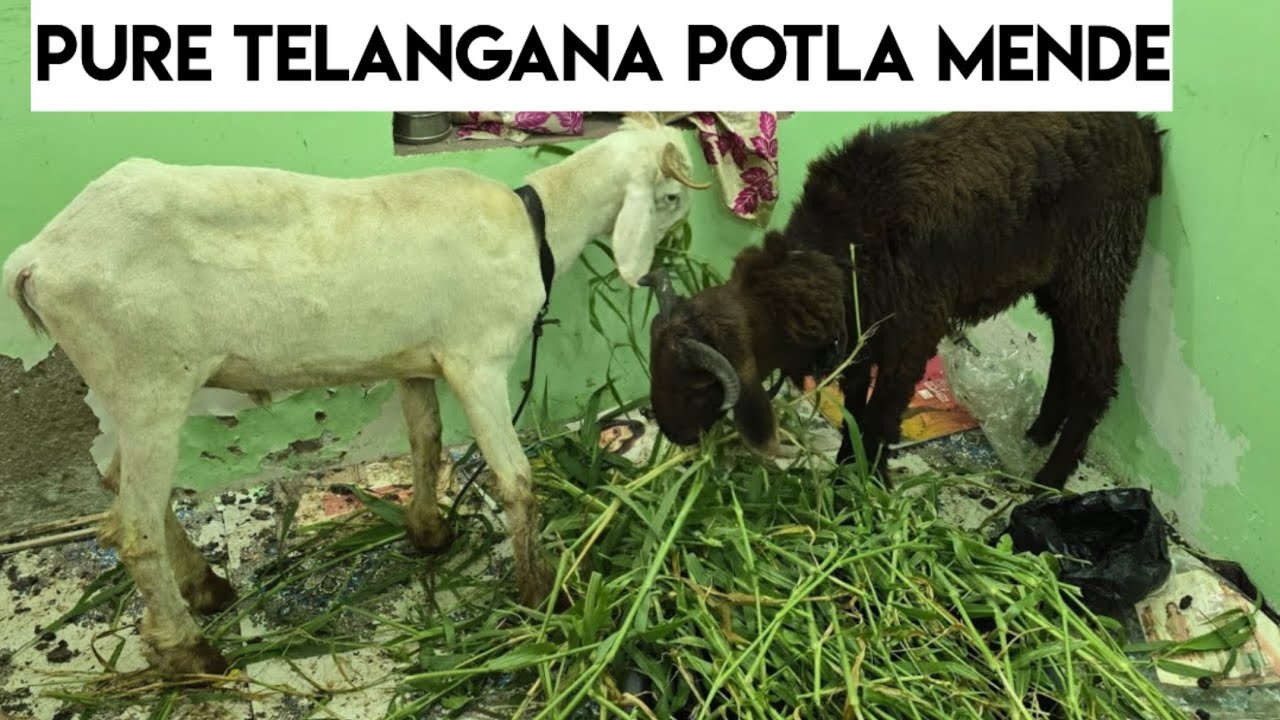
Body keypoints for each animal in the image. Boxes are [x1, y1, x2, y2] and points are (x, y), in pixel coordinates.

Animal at [2, 111, 710, 677]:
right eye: (672, 196)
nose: (670, 259)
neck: (536, 225)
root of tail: (36, 258)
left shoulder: (417, 360)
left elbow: (426, 442)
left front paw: (429, 532)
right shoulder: (477, 361)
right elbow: (515, 480)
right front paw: (541, 594)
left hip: (124, 388)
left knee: (117, 485)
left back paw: (205, 585)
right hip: (149, 380)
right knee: (134, 527)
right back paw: (192, 650)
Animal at [640, 111, 1166, 491]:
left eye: (698, 386)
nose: (674, 435)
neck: (841, 247)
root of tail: (1141, 129)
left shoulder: (911, 337)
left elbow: (881, 415)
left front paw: (867, 483)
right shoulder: (861, 334)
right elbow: (855, 407)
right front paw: (846, 466)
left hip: (1100, 262)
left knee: (1099, 369)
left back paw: (1050, 479)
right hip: (1060, 278)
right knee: (1068, 350)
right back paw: (1039, 430)